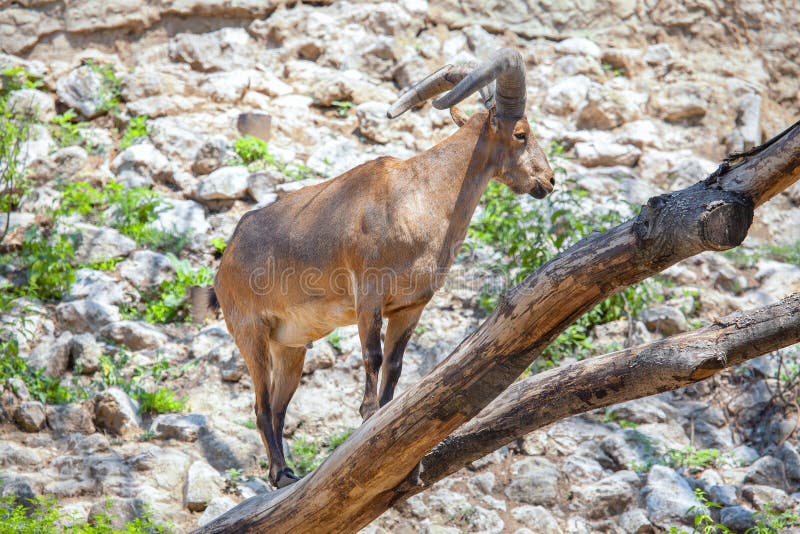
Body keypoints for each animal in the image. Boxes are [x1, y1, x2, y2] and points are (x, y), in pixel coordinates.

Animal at [193, 48, 555, 488]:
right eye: (521, 133)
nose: (548, 180)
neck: (418, 198)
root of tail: (224, 264)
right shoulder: (368, 294)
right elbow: (373, 356)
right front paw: (368, 417)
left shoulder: (410, 306)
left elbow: (395, 367)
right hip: (251, 334)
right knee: (262, 408)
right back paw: (280, 475)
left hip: (290, 346)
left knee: (278, 408)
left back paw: (288, 472)